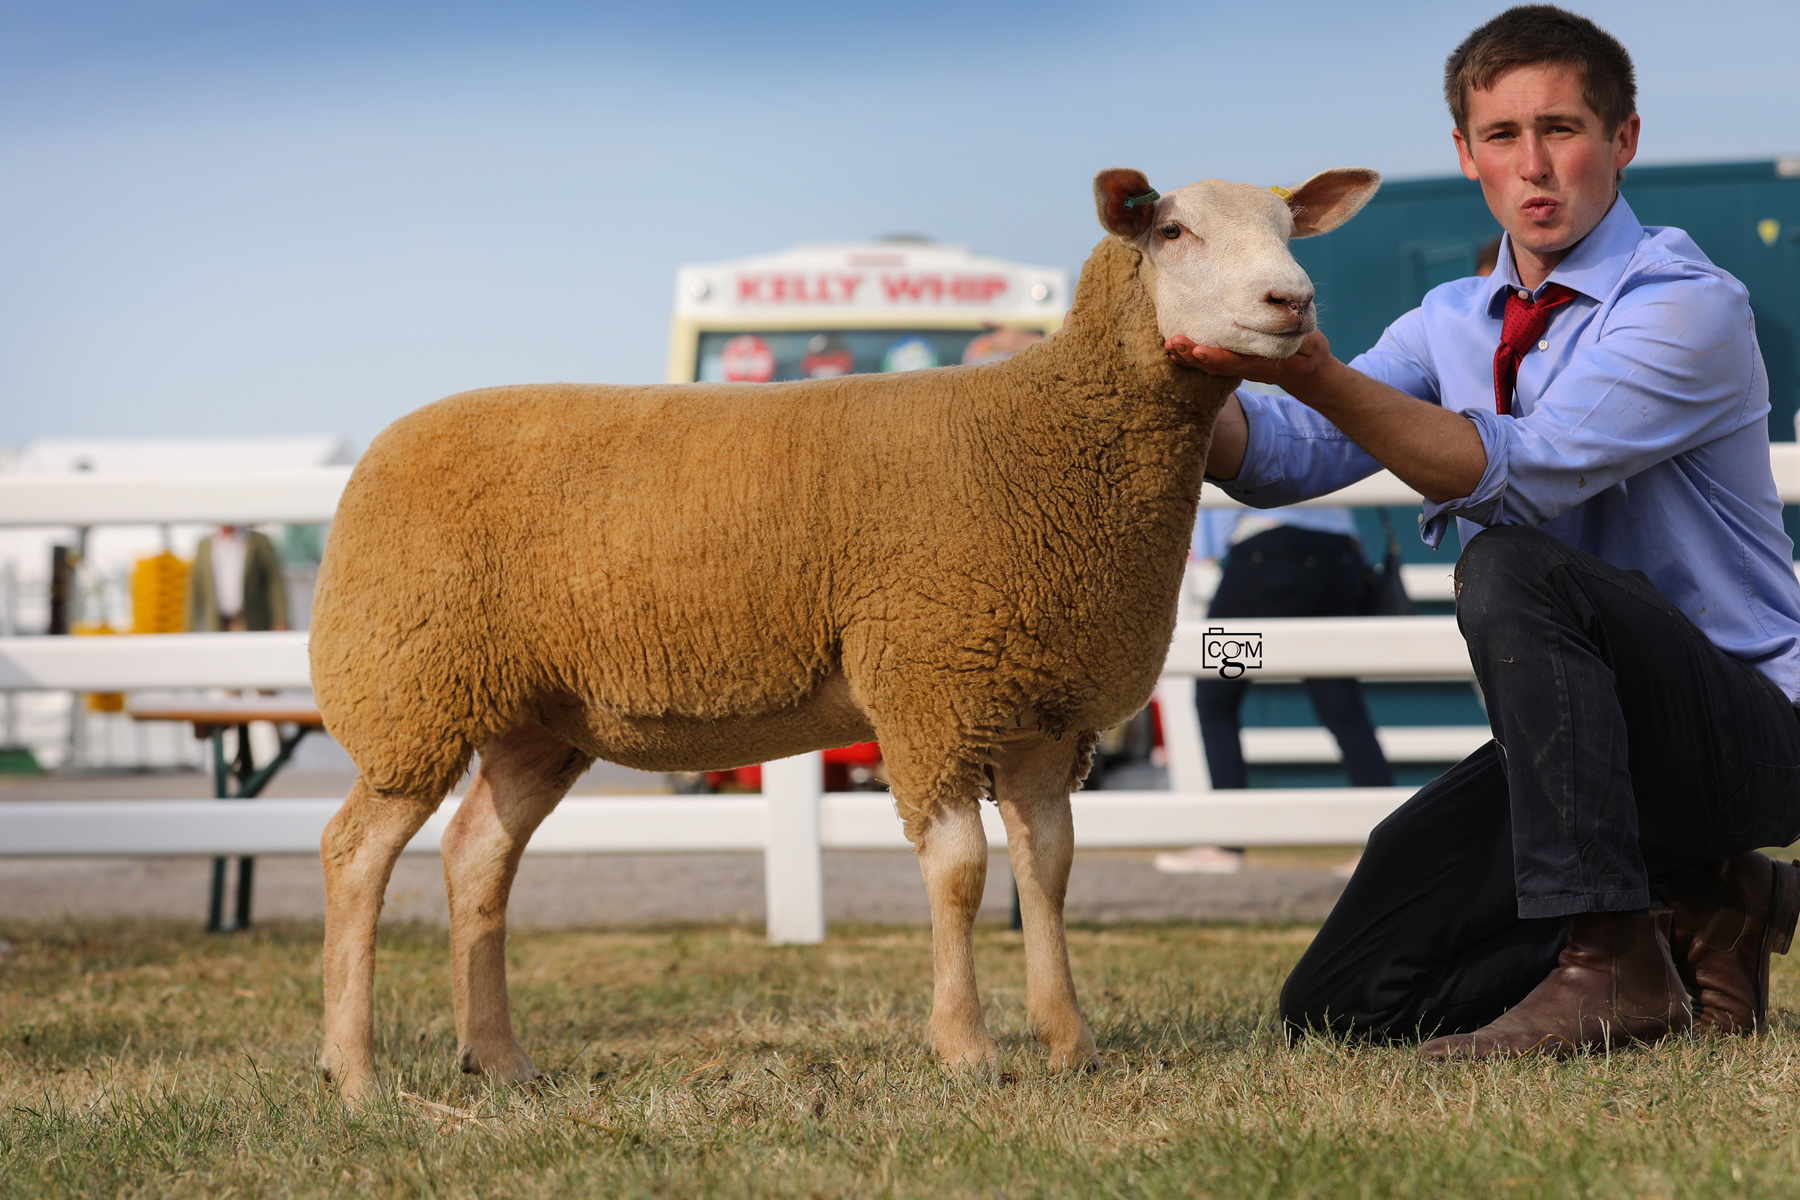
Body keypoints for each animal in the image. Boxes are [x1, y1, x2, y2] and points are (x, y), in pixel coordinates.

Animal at [309, 164, 1382, 1101]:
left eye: (1287, 229)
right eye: (1173, 231)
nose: (1293, 302)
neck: (1050, 435)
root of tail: (381, 451)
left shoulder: (1044, 708)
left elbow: (1048, 868)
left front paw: (1070, 1045)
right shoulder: (930, 681)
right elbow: (961, 870)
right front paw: (966, 1051)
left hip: (535, 717)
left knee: (476, 855)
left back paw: (498, 1061)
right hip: (409, 685)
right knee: (354, 853)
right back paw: (355, 1075)